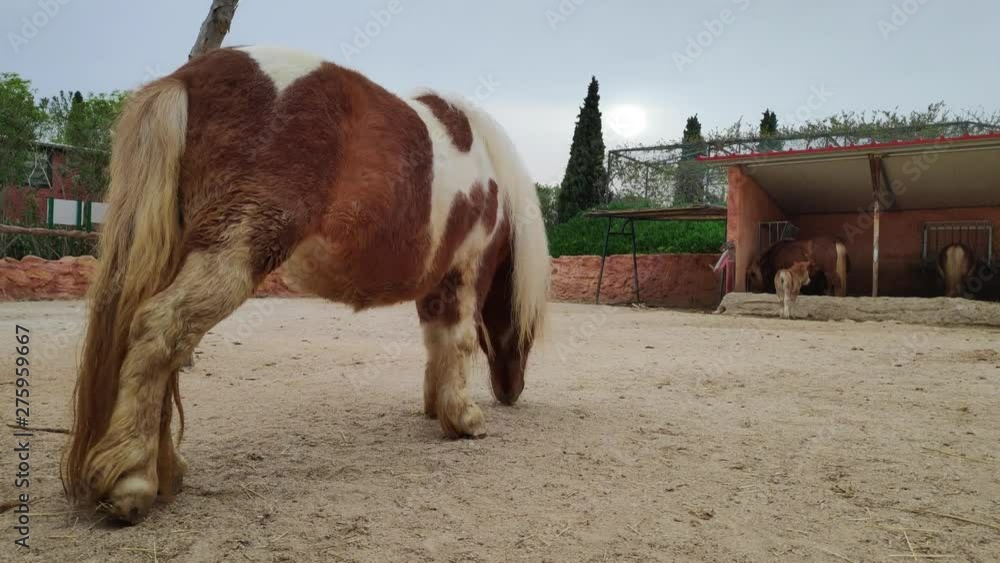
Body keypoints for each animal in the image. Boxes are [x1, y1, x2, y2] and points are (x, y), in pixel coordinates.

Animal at [61, 45, 550, 524]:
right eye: (529, 334)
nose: (512, 391)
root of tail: (190, 76)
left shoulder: (433, 288)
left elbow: (436, 344)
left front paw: (436, 407)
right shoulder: (465, 272)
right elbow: (460, 340)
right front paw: (464, 419)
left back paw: (167, 471)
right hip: (233, 250)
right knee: (161, 328)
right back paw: (134, 479)